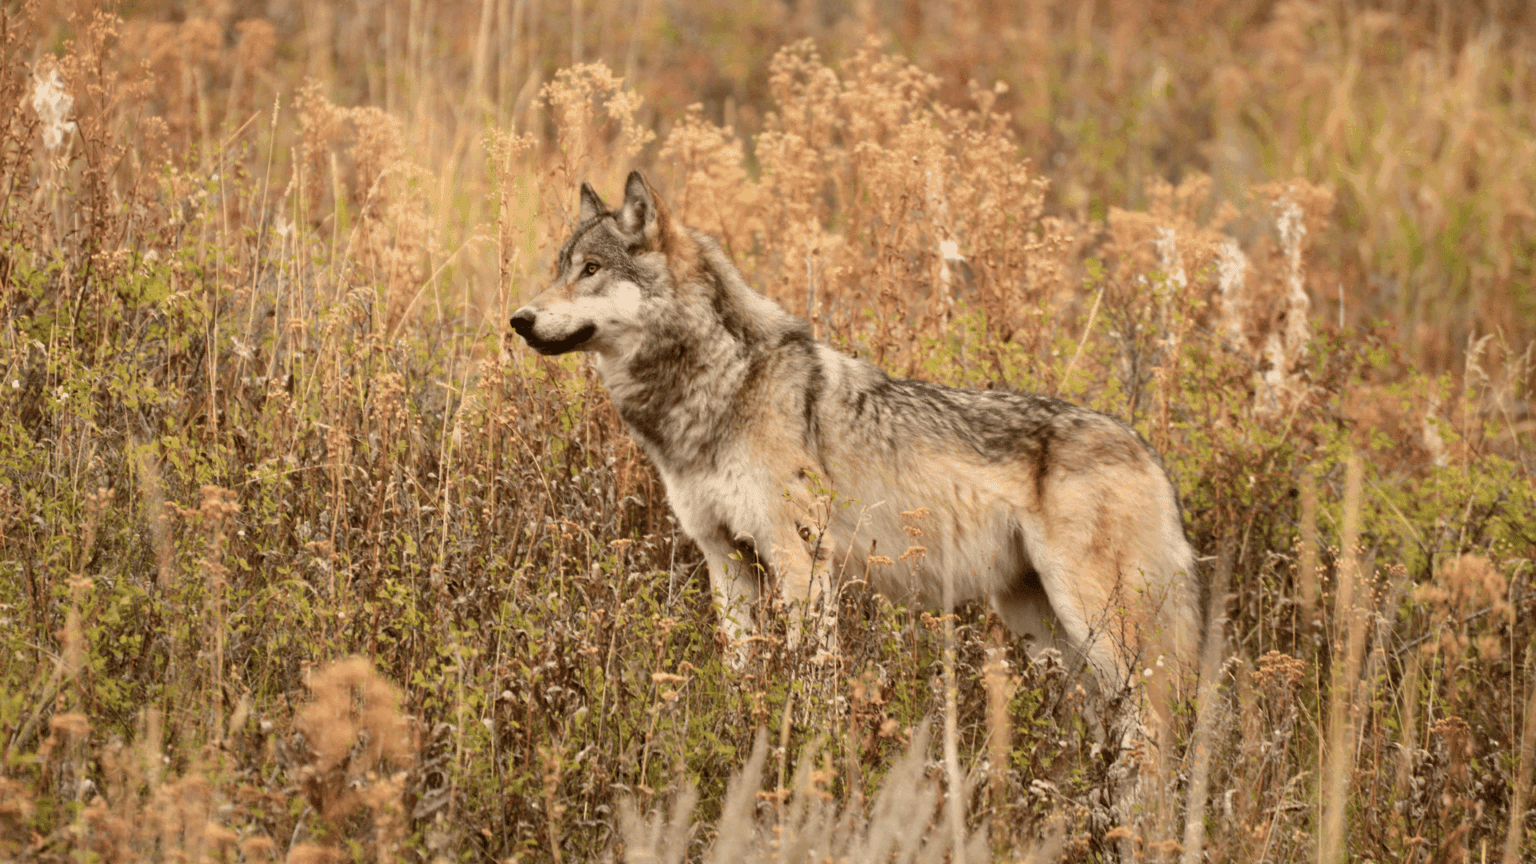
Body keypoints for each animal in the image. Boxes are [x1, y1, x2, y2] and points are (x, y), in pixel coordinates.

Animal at [511, 171, 1205, 712]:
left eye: (592, 270)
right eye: (559, 270)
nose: (518, 319)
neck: (719, 386)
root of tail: (1150, 454)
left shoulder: (800, 562)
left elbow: (811, 681)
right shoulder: (725, 562)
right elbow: (739, 673)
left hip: (1101, 630)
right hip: (1045, 632)